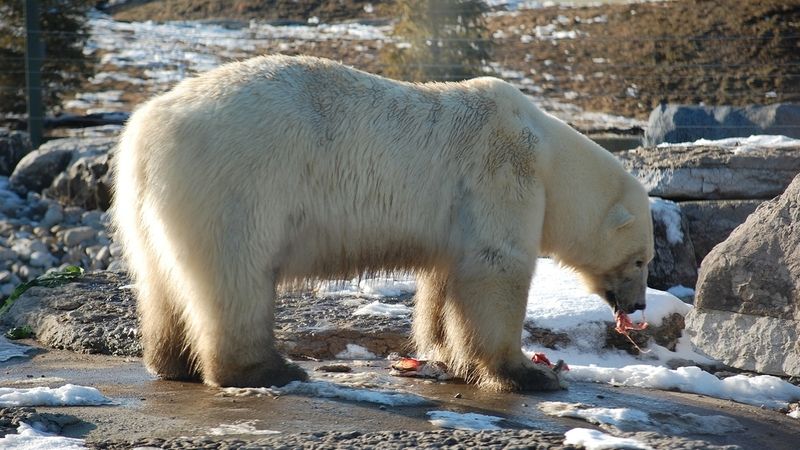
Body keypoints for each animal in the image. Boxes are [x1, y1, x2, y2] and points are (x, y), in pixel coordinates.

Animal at [111, 54, 654, 392]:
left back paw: (172, 362)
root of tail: (145, 132)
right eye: (641, 260)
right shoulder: (501, 174)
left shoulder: (458, 215)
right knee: (236, 274)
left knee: (161, 280)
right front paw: (528, 373)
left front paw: (444, 353)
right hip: (235, 180)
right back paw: (268, 369)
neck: (548, 154)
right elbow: (495, 267)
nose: (639, 304)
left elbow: (445, 281)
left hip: (145, 207)